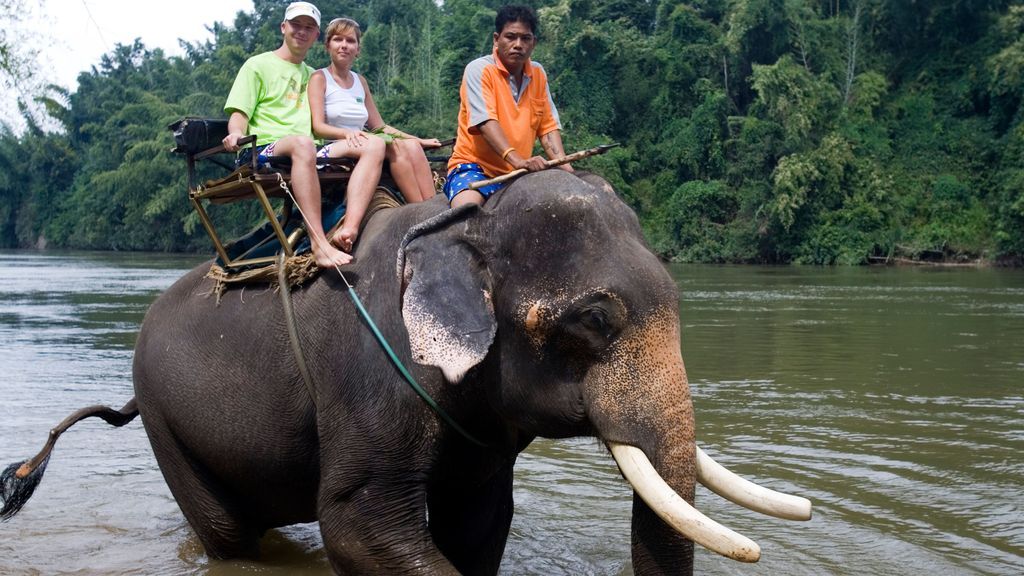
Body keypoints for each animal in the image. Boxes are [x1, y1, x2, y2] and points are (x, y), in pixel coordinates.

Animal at [1, 170, 809, 575]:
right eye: (594, 321)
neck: (466, 223)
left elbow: (479, 524)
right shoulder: (373, 375)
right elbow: (356, 523)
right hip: (168, 423)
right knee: (231, 536)